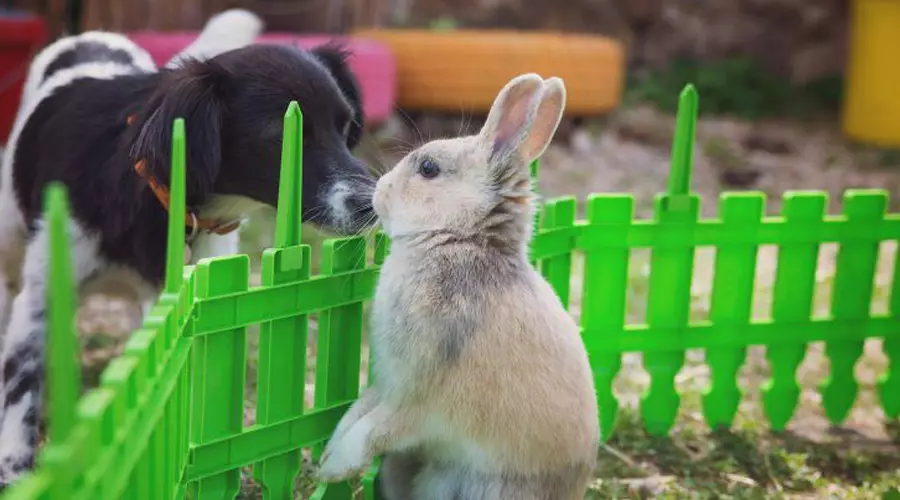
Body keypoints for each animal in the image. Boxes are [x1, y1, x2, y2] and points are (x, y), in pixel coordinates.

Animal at [0, 8, 376, 484]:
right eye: (283, 136)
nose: (372, 204)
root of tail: (91, 37)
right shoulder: (41, 293)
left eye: (345, 127)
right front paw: (15, 467)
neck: (150, 196)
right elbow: (22, 382)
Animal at [312, 74, 600, 500]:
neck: (459, 240)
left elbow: (373, 431)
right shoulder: (388, 380)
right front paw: (327, 455)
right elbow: (357, 413)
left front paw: (332, 468)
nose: (379, 190)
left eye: (428, 168)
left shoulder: (417, 399)